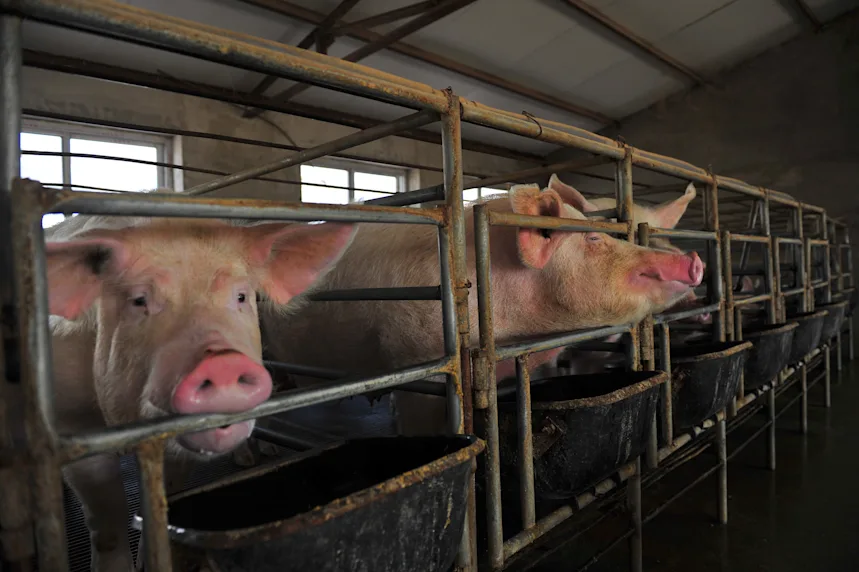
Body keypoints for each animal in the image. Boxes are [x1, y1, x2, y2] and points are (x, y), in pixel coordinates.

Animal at [45, 202, 355, 572]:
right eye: (139, 300)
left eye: (241, 296)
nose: (221, 361)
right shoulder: (72, 427)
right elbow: (108, 524)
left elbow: (167, 500)